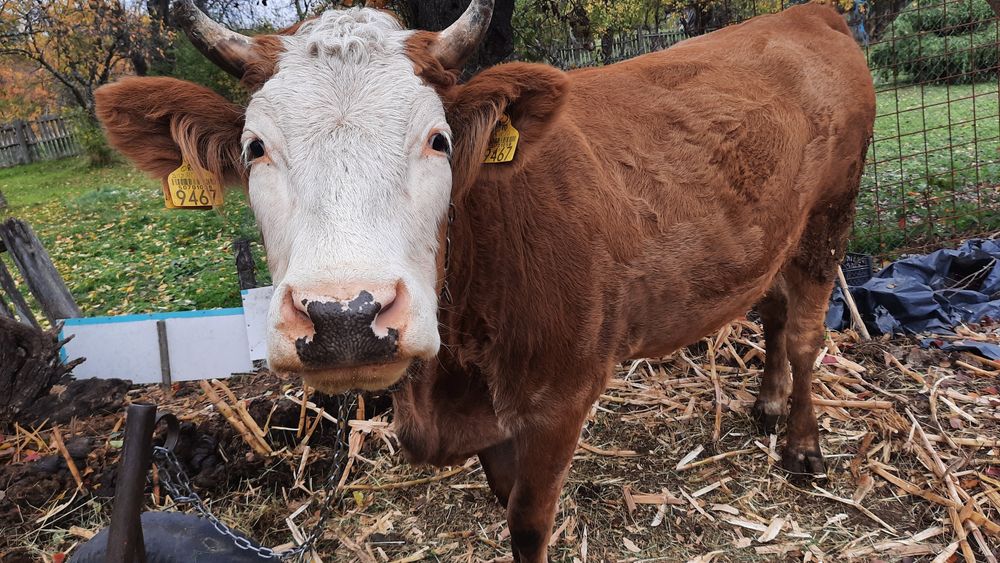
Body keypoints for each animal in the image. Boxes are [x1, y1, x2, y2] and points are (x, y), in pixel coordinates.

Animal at [94, 1, 875, 559]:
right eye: (255, 147)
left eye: (438, 139)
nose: (345, 317)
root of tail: (807, 13)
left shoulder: (563, 398)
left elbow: (528, 525)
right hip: (776, 232)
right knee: (774, 310)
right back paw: (767, 403)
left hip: (830, 218)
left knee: (805, 333)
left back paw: (802, 445)